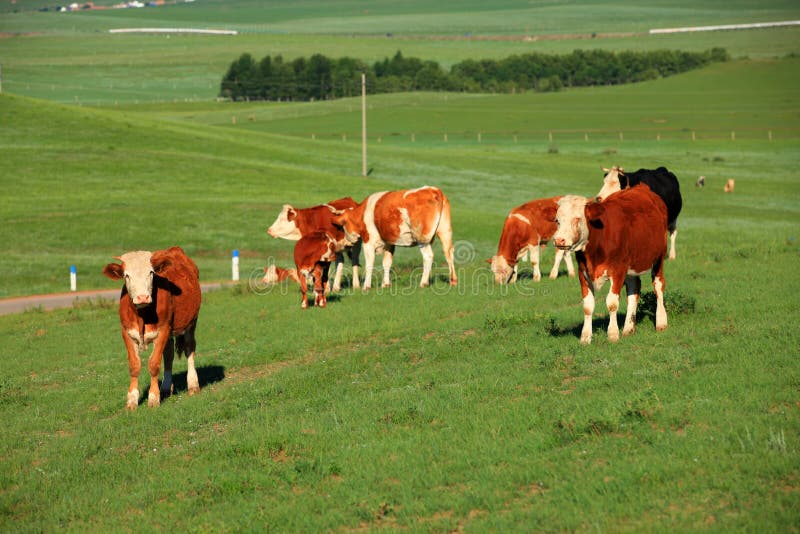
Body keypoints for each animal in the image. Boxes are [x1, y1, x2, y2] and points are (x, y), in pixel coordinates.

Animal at [102, 247, 201, 410]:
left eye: (151, 273)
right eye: (126, 275)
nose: (143, 297)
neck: (142, 315)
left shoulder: (163, 330)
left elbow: (154, 364)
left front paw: (153, 398)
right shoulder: (127, 333)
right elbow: (134, 365)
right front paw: (132, 400)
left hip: (191, 322)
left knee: (189, 348)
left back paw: (193, 385)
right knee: (168, 354)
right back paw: (166, 387)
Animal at [551, 186, 668, 345]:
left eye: (577, 218)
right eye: (557, 220)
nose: (559, 240)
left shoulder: (618, 271)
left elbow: (612, 303)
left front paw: (612, 334)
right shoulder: (583, 272)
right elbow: (587, 306)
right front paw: (585, 337)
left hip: (658, 258)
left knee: (658, 285)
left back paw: (661, 322)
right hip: (630, 267)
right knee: (634, 289)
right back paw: (628, 328)